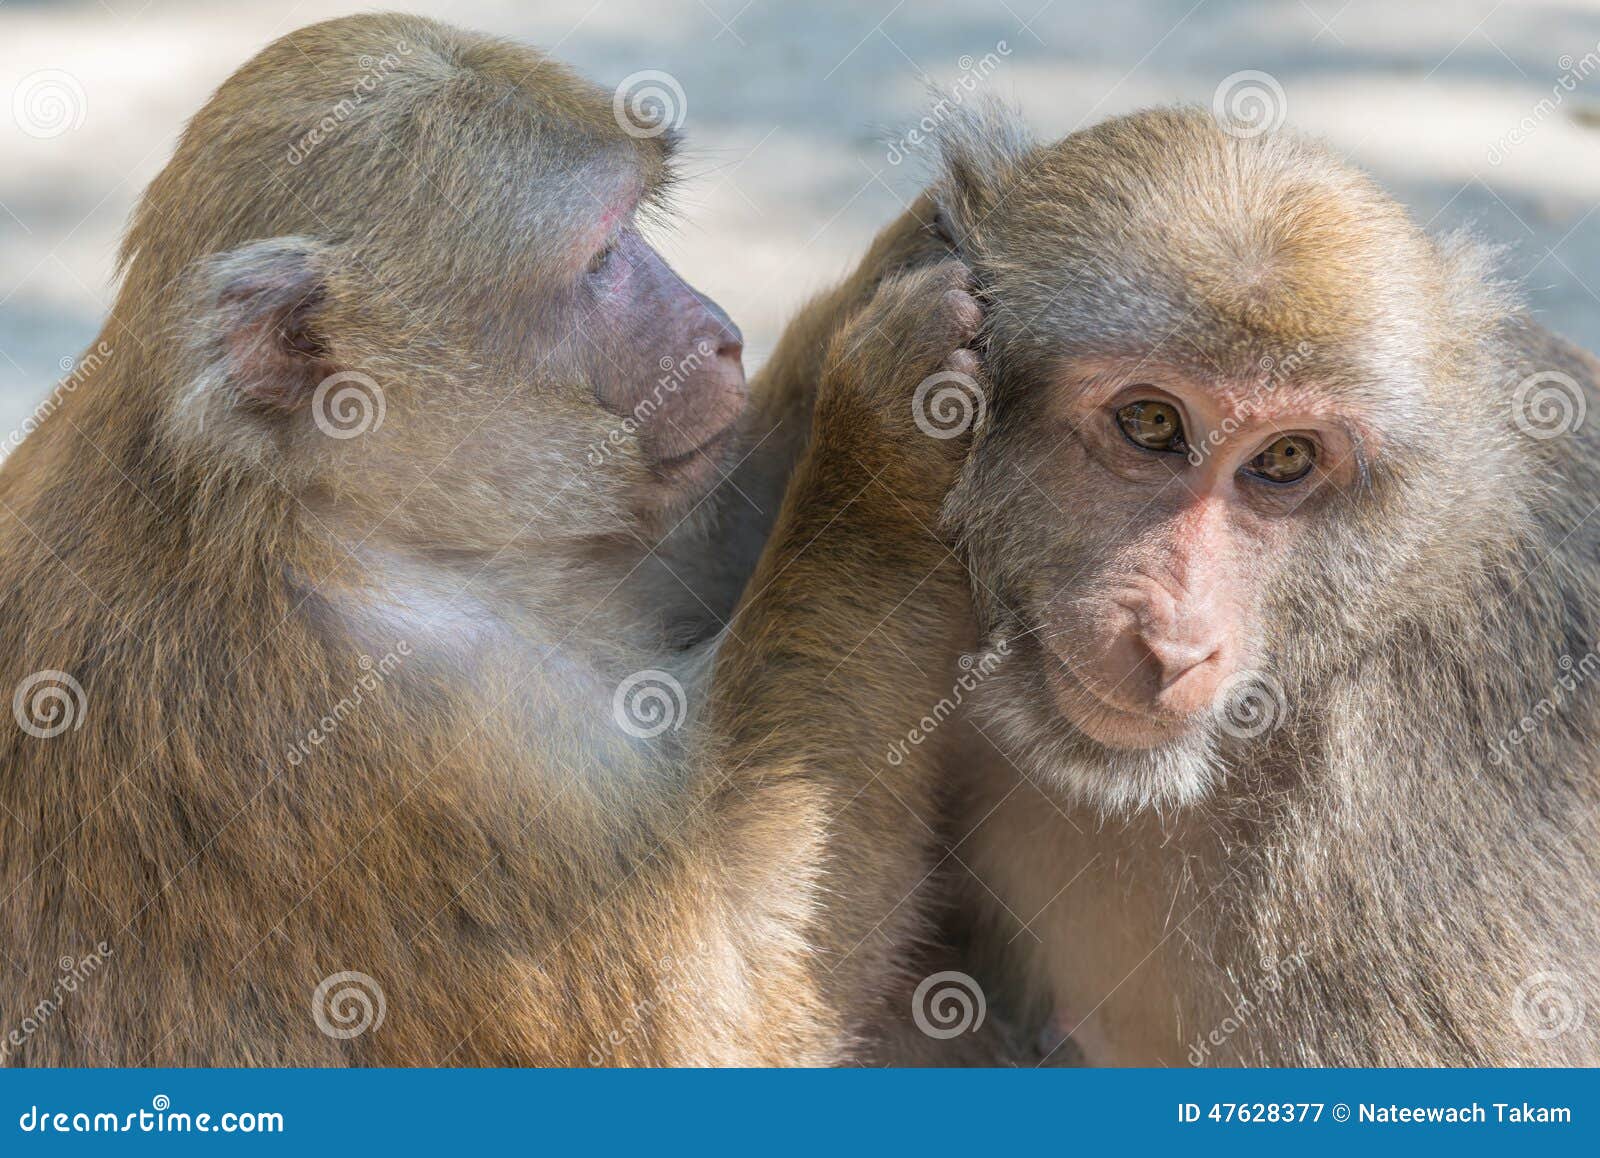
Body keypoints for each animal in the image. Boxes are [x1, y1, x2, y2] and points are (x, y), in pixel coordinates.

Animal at [0, 12, 981, 1065]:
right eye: (601, 257)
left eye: (637, 226)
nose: (721, 336)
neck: (317, 514)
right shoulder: (419, 730)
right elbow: (725, 1016)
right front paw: (884, 421)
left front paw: (927, 235)